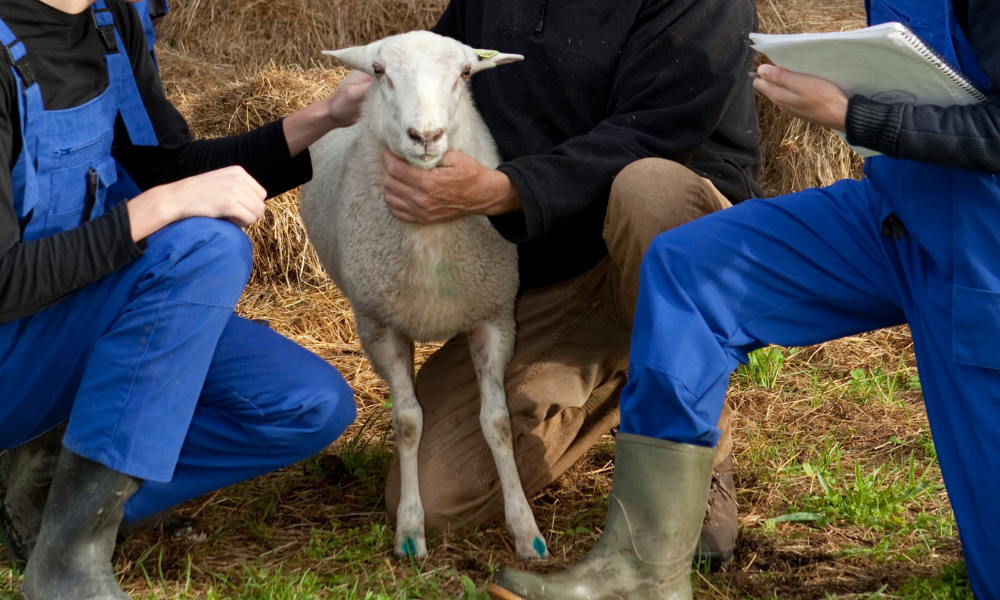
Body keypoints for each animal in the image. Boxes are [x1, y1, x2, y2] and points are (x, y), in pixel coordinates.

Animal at [299, 31, 550, 561]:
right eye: (380, 72)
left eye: (464, 74)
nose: (426, 137)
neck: (431, 239)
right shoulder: (380, 327)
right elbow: (409, 421)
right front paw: (410, 529)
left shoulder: (495, 317)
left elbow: (498, 422)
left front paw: (524, 527)